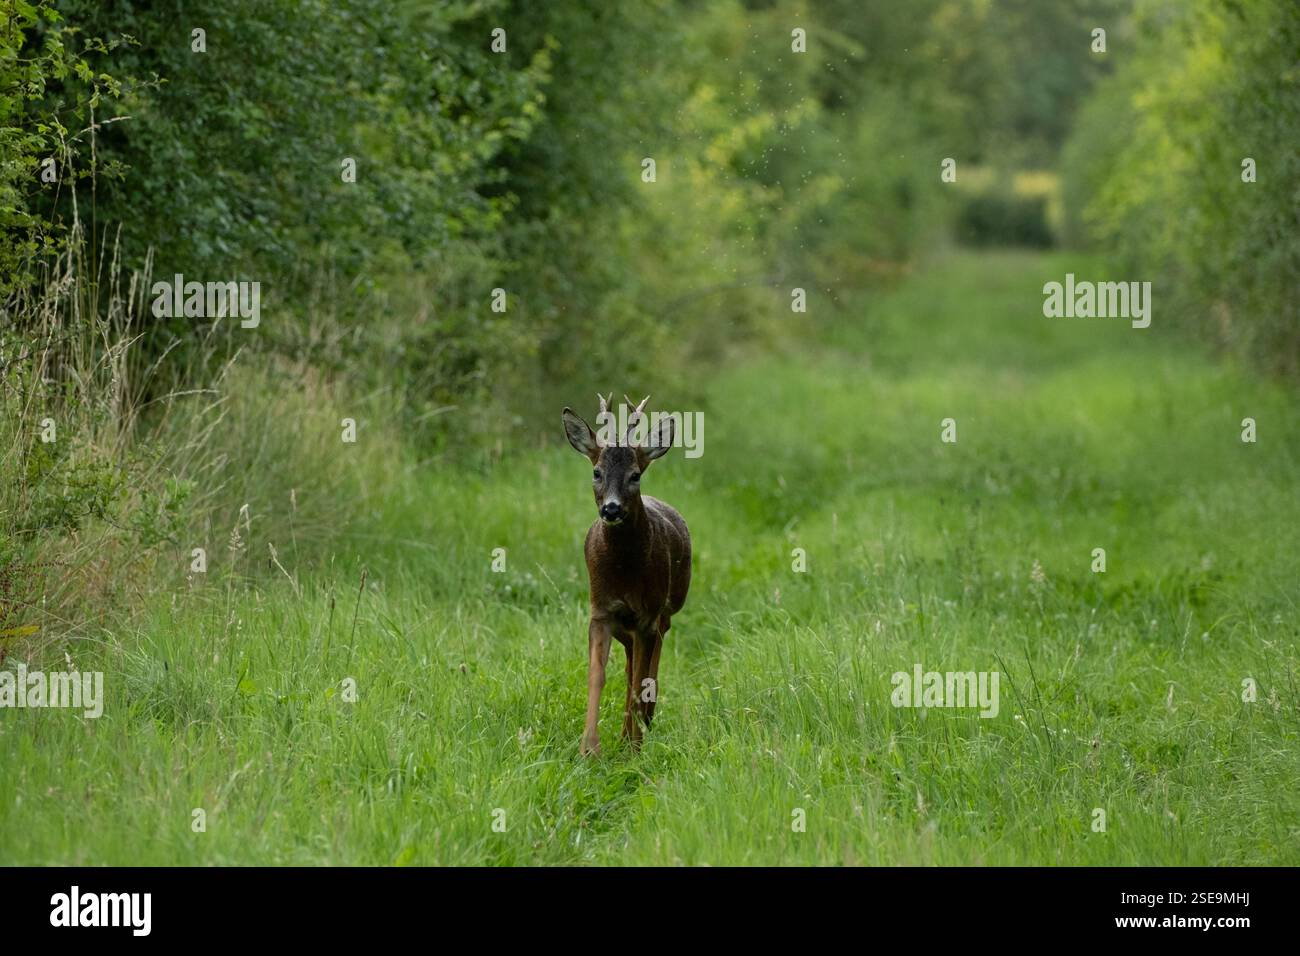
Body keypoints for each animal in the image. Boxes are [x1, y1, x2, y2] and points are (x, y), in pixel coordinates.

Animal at [561, 394, 691, 755]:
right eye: (596, 471)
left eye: (635, 475)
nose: (611, 508)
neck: (624, 572)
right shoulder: (601, 610)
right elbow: (598, 674)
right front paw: (589, 748)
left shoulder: (648, 614)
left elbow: (638, 681)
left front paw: (634, 748)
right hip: (628, 626)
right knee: (632, 663)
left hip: (665, 610)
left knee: (649, 666)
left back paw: (643, 723)